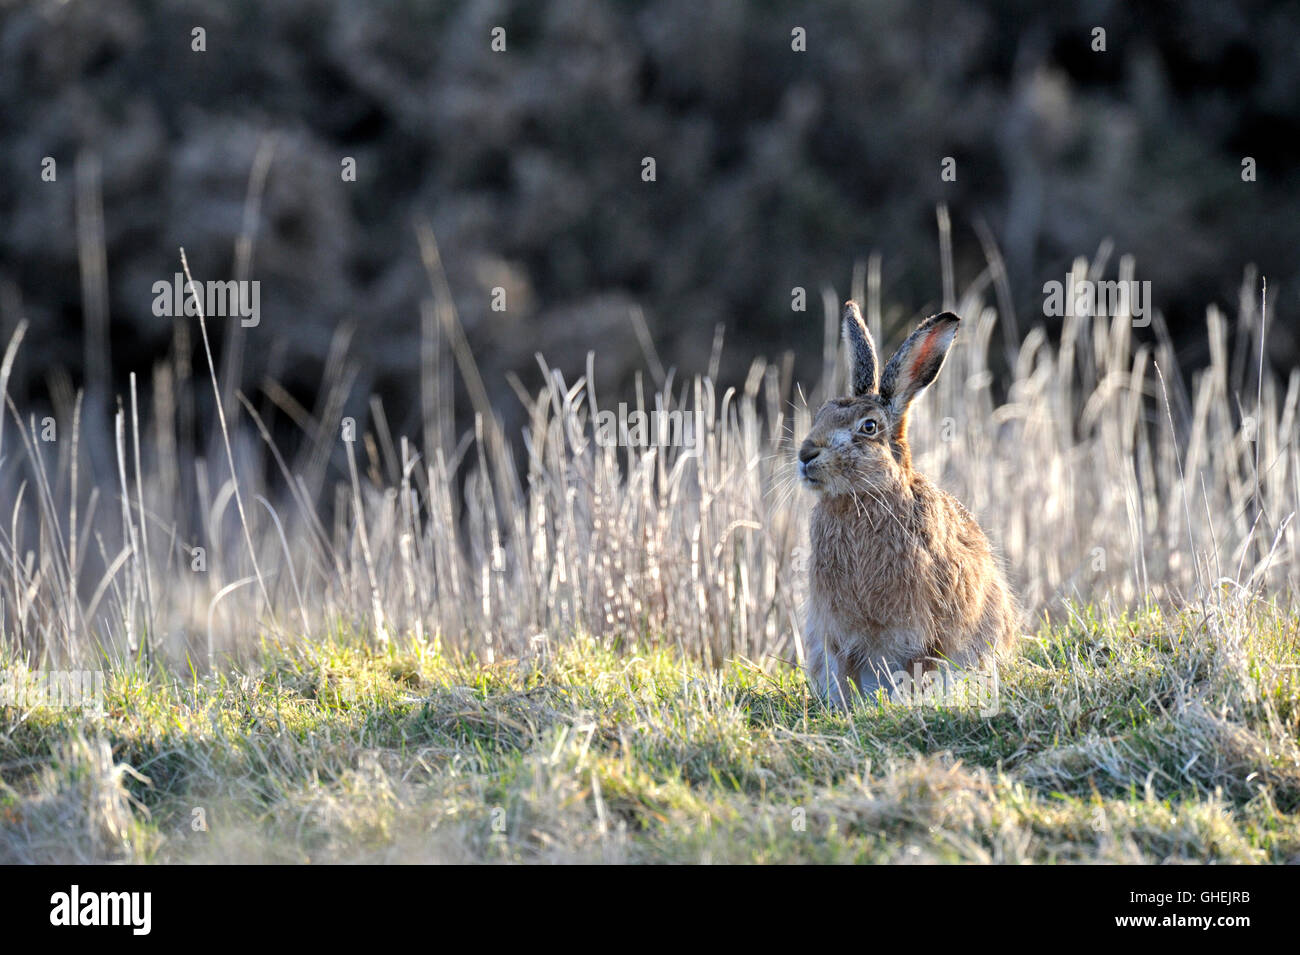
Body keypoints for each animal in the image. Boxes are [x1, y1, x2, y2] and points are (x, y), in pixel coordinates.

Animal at [797, 301, 1019, 706]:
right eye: (820, 414)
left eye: (868, 428)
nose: (806, 455)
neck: (864, 496)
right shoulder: (835, 633)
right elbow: (843, 671)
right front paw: (845, 709)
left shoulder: (929, 630)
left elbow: (921, 665)